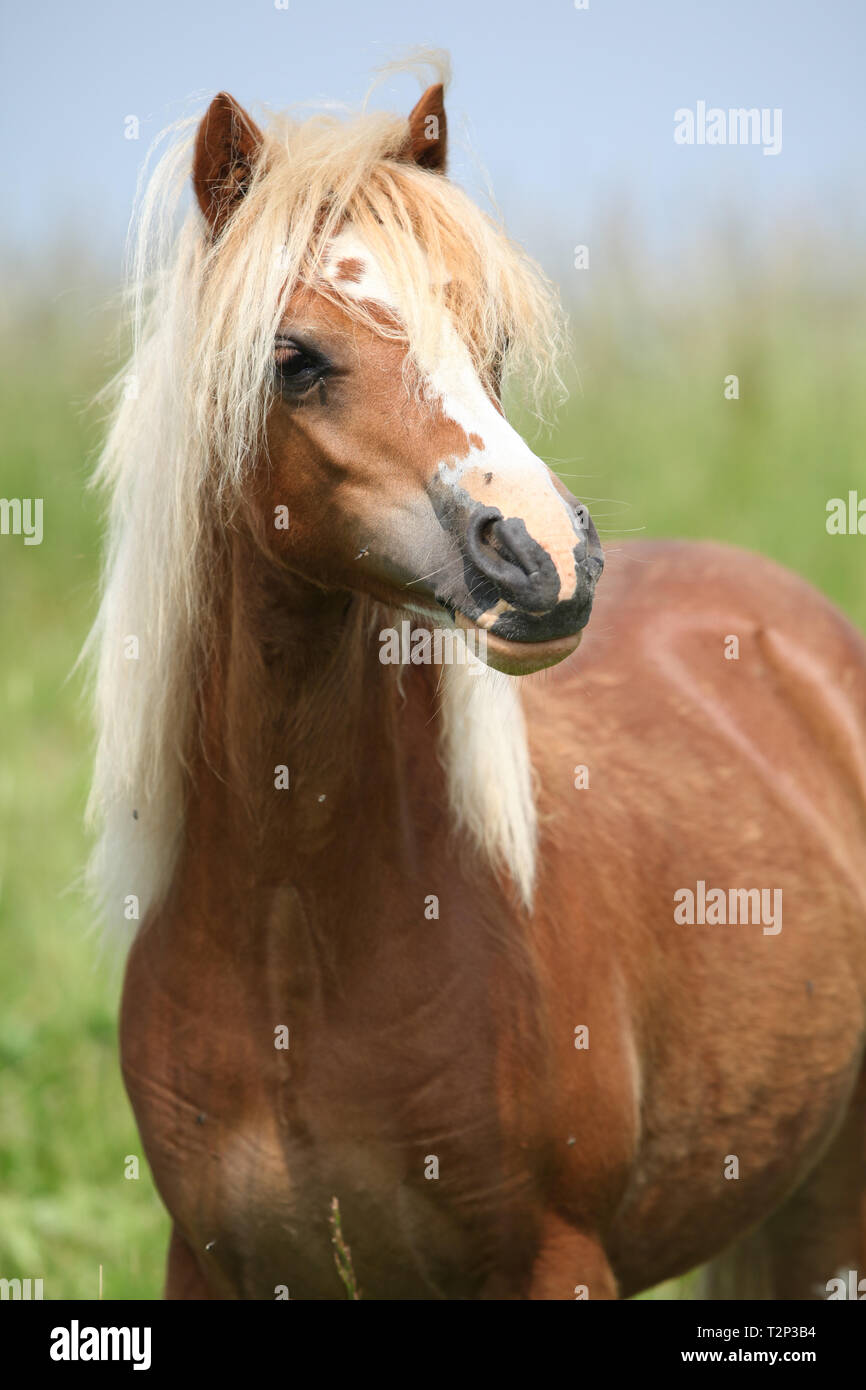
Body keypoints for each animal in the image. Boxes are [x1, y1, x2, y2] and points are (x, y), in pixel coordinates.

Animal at [88, 64, 866, 1300]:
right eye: (293, 358)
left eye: (488, 340)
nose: (546, 558)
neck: (289, 939)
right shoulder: (207, 1268)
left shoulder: (556, 1260)